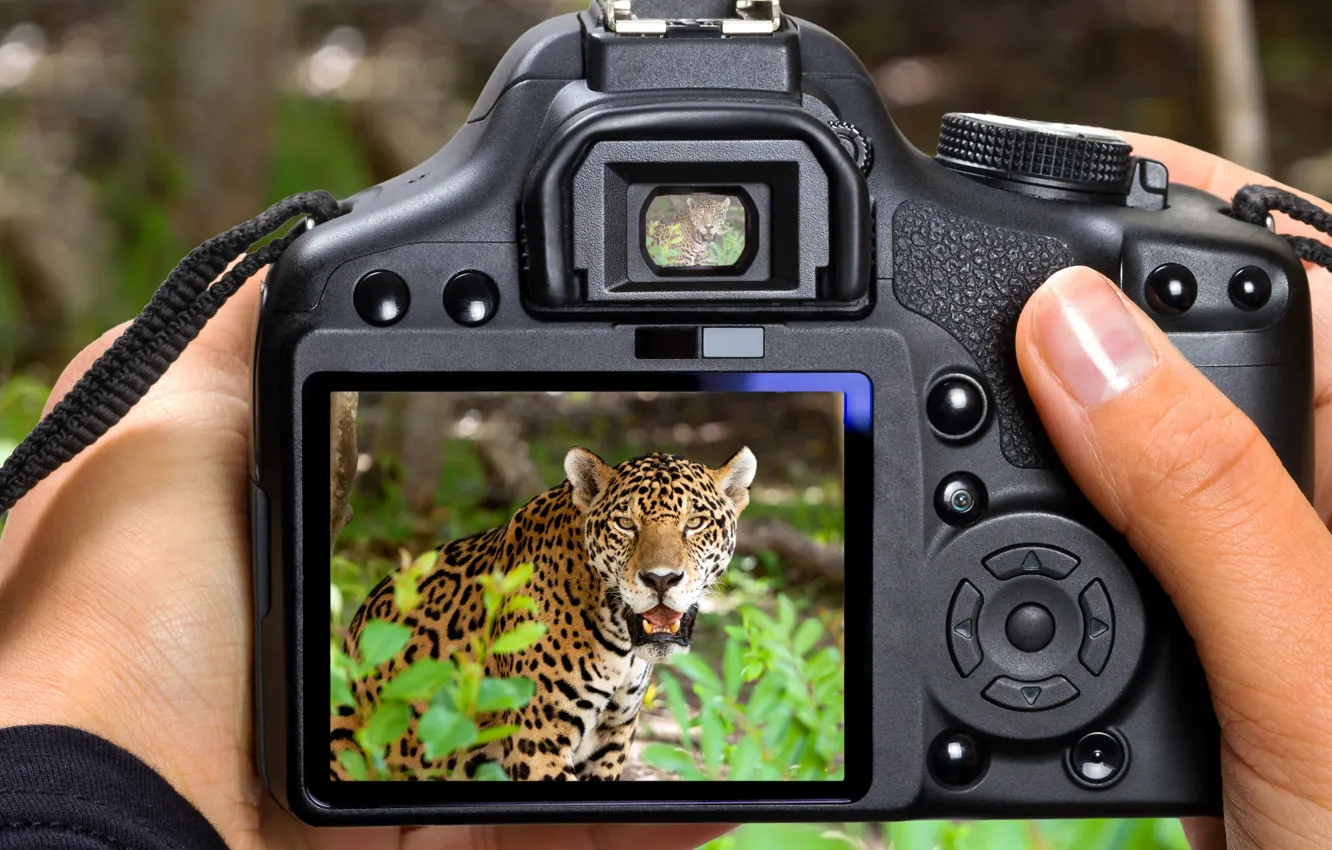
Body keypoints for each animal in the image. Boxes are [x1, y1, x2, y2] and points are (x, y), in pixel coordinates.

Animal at [330, 446, 757, 781]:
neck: (619, 640)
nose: (661, 579)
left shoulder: (612, 742)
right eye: (625, 524)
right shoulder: (539, 742)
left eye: (695, 523)